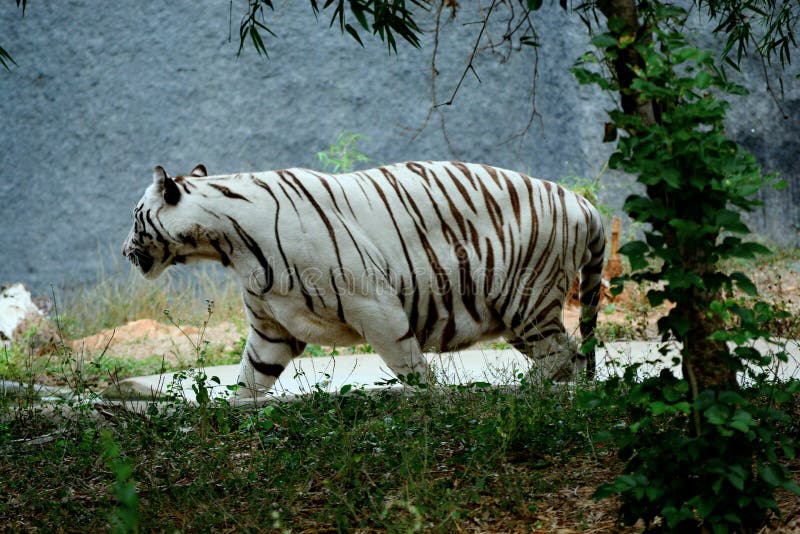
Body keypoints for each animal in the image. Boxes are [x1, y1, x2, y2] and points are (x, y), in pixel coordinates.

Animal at [122, 161, 605, 398]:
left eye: (135, 217)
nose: (124, 251)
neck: (226, 244)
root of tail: (585, 204)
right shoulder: (271, 328)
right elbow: (250, 378)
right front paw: (239, 410)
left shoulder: (375, 307)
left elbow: (411, 368)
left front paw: (432, 398)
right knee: (572, 358)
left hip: (526, 300)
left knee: (562, 357)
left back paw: (521, 391)